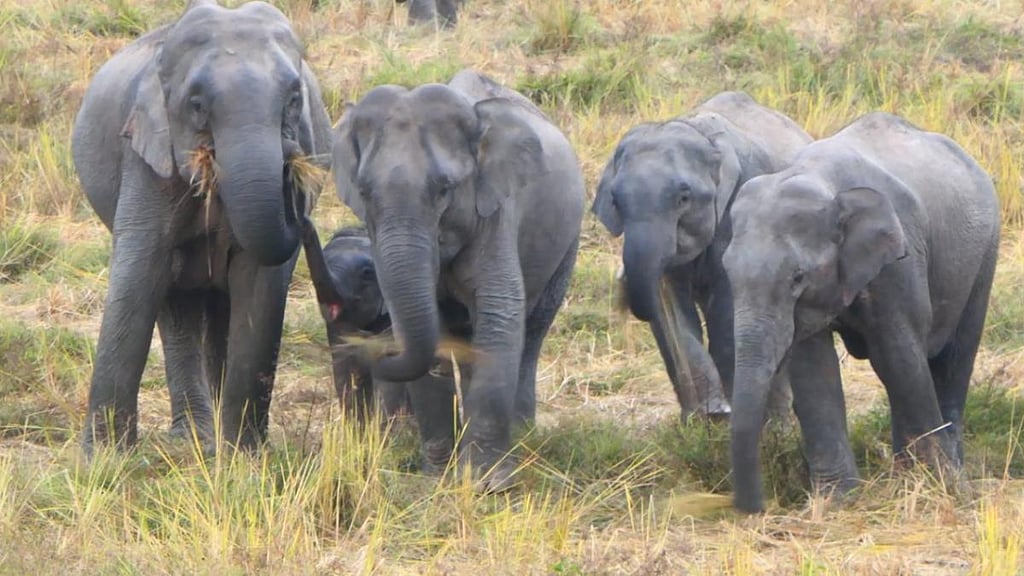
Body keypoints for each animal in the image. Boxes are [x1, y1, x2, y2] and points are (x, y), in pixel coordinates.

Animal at [71, 0, 333, 453]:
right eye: (196, 105)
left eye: (295, 99)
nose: (290, 158)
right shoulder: (146, 158)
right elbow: (139, 274)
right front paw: (101, 459)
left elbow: (260, 288)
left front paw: (244, 457)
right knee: (176, 304)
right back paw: (190, 438)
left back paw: (208, 441)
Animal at [331, 69, 585, 488]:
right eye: (364, 192)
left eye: (444, 189)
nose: (370, 349)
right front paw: (437, 478)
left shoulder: (496, 212)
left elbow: (499, 315)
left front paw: (486, 484)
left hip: (567, 243)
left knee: (533, 331)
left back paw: (523, 435)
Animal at [592, 91, 810, 421]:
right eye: (616, 202)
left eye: (684, 198)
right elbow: (674, 306)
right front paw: (703, 418)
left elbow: (727, 308)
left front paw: (724, 415)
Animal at [722, 111, 1000, 513]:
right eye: (726, 269)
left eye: (797, 276)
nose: (757, 507)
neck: (817, 178)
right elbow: (813, 368)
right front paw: (836, 502)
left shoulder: (898, 261)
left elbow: (897, 356)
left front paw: (943, 490)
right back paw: (907, 474)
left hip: (985, 253)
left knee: (952, 358)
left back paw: (944, 475)